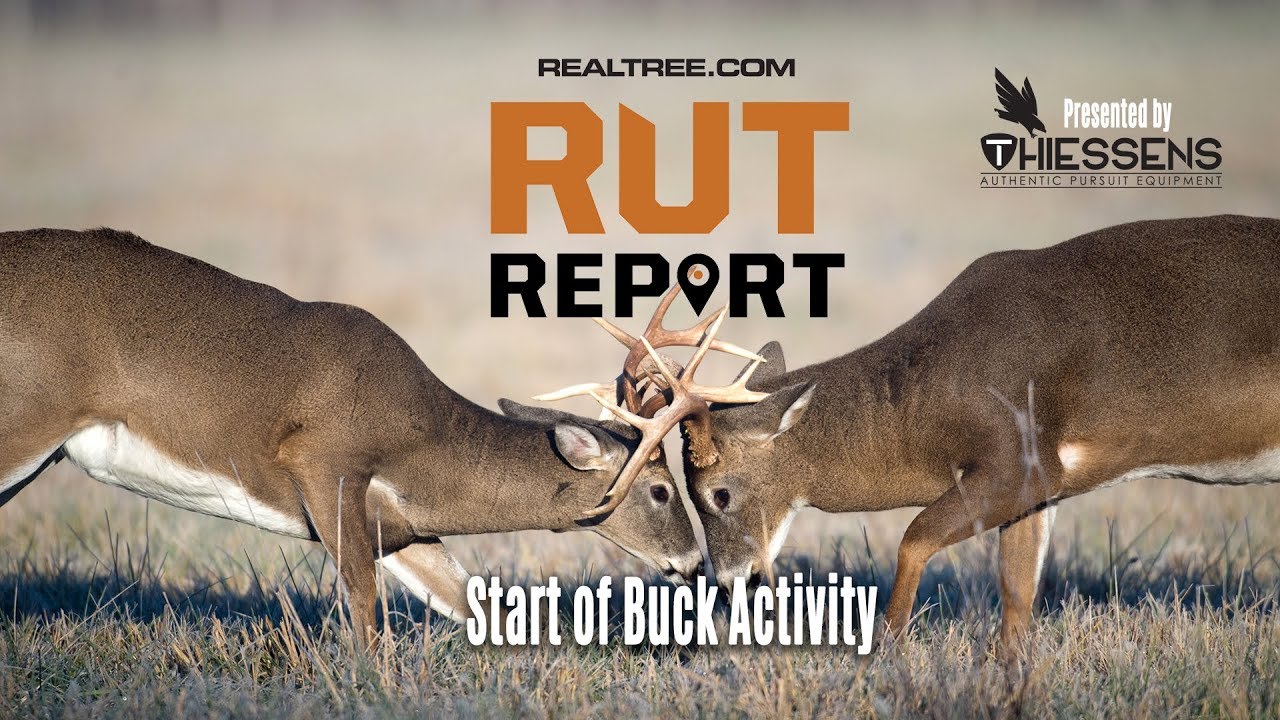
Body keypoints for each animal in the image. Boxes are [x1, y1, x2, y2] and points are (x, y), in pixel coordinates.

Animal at [0, 227, 716, 648]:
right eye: (660, 489)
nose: (692, 564)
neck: (424, 448)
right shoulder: (323, 463)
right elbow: (365, 616)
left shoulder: (401, 527)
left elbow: (479, 609)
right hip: (25, 421)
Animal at [548, 214, 1280, 663]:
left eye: (718, 492)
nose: (733, 582)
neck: (922, 408)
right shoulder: (1040, 482)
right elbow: (1018, 597)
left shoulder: (1014, 459)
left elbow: (912, 540)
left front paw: (886, 654)